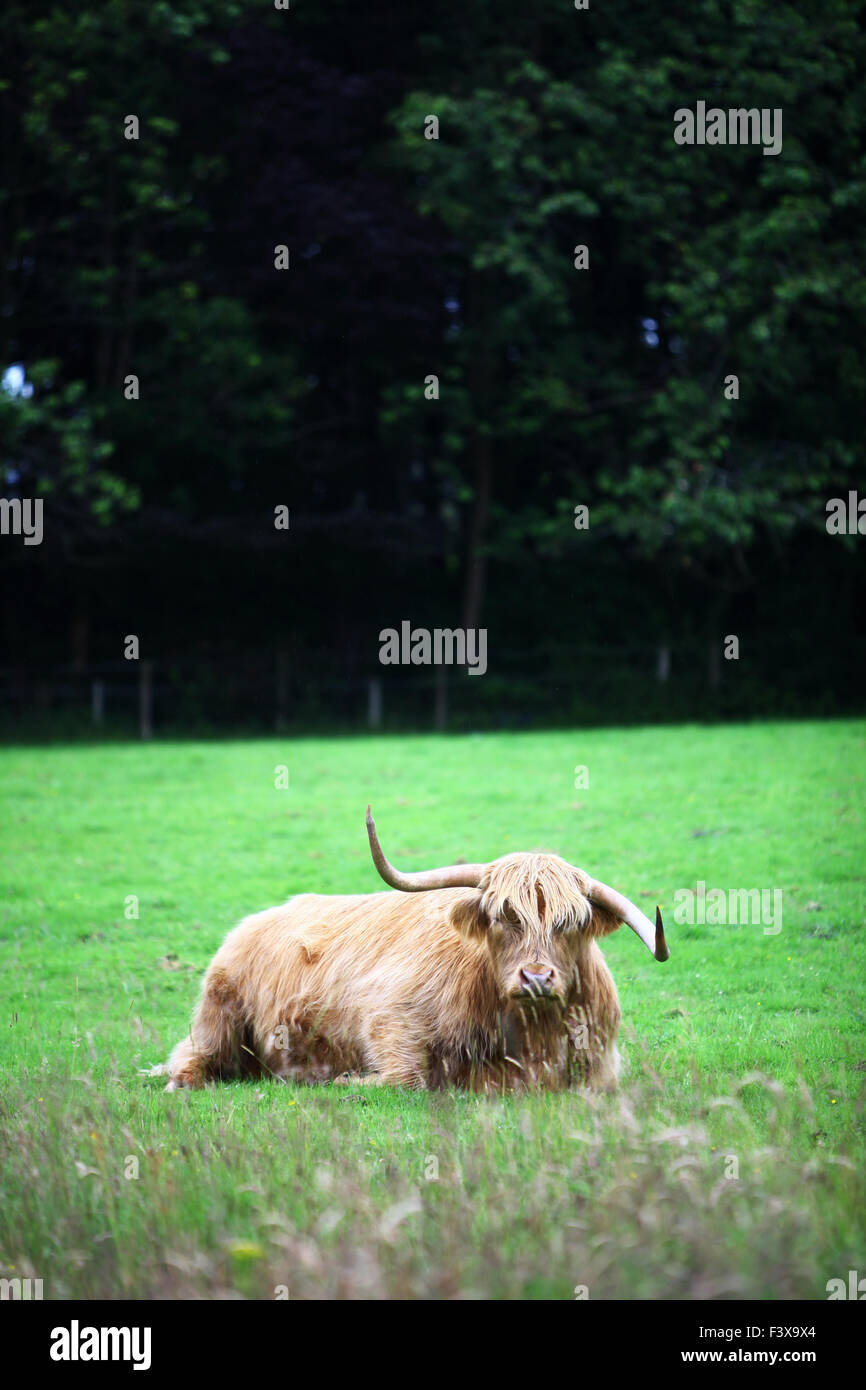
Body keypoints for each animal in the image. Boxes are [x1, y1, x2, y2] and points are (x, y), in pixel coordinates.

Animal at [160, 808, 668, 1093]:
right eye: (502, 916)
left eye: (572, 923)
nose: (537, 978)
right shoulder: (389, 1018)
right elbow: (406, 1078)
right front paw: (348, 1080)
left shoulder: (600, 1064)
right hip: (217, 1016)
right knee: (193, 1055)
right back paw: (180, 1083)